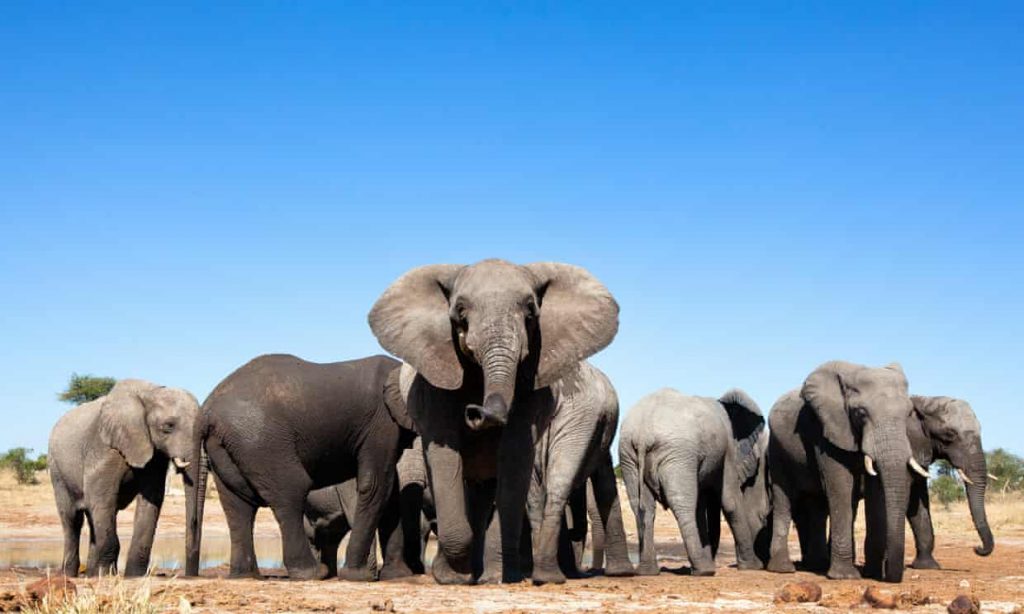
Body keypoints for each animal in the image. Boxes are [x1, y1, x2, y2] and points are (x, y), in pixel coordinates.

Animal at [48, 379, 200, 577]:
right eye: (168, 426)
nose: (191, 574)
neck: (151, 392)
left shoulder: (154, 454)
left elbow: (151, 500)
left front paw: (133, 576)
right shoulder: (104, 446)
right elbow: (102, 498)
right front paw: (105, 574)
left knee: (93, 516)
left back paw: (91, 573)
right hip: (57, 470)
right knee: (72, 518)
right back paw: (71, 574)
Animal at [187, 354, 416, 581]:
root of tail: (206, 411)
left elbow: (391, 492)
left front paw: (398, 575)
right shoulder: (382, 422)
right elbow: (376, 484)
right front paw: (358, 576)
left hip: (229, 445)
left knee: (237, 505)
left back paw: (246, 575)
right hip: (261, 440)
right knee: (290, 492)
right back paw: (313, 573)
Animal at [369, 259, 619, 584]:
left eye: (530, 311)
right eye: (460, 311)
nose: (475, 411)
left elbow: (514, 455)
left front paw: (498, 577)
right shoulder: (434, 380)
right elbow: (445, 453)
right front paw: (453, 577)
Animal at [618, 388, 770, 577]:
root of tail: (643, 433)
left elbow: (701, 504)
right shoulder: (727, 449)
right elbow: (730, 502)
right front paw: (753, 566)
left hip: (629, 455)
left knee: (642, 507)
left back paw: (648, 571)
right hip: (677, 455)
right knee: (682, 504)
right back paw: (704, 570)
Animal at [767, 361, 918, 583]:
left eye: (909, 414)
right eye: (861, 413)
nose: (890, 575)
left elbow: (875, 492)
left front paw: (872, 574)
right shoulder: (827, 429)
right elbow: (841, 486)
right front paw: (845, 576)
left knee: (818, 505)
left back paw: (818, 564)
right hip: (776, 449)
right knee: (784, 499)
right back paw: (783, 569)